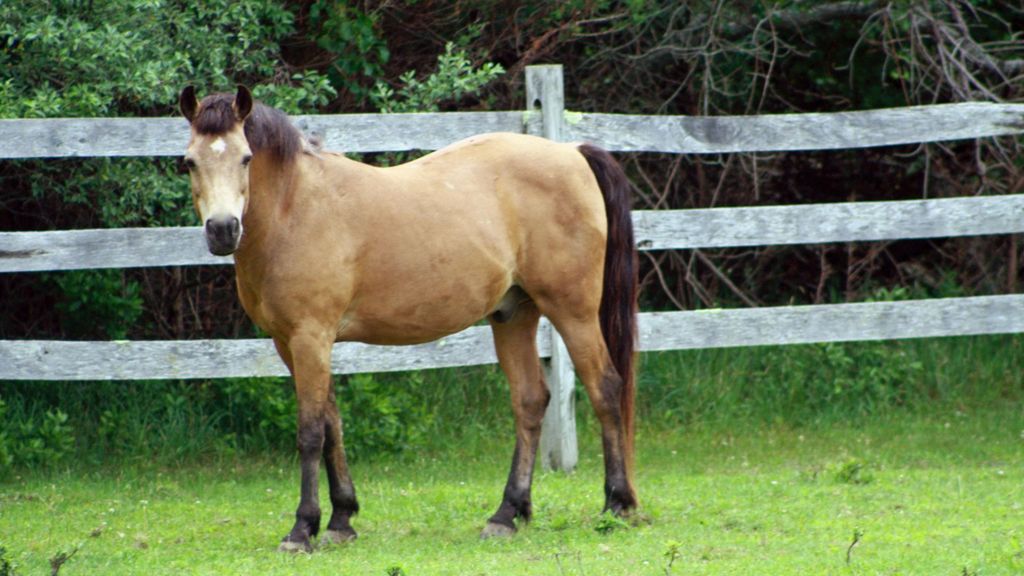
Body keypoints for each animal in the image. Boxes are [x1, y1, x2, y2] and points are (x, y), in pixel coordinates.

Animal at [178, 85, 639, 552]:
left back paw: (617, 504)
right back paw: (506, 514)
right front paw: (341, 519)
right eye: (190, 161)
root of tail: (572, 152)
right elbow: (331, 424)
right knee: (529, 401)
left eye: (246, 158)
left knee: (605, 388)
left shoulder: (311, 338)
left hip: (573, 311)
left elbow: (310, 432)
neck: (296, 209)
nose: (222, 229)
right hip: (513, 316)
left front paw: (303, 529)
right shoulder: (290, 343)